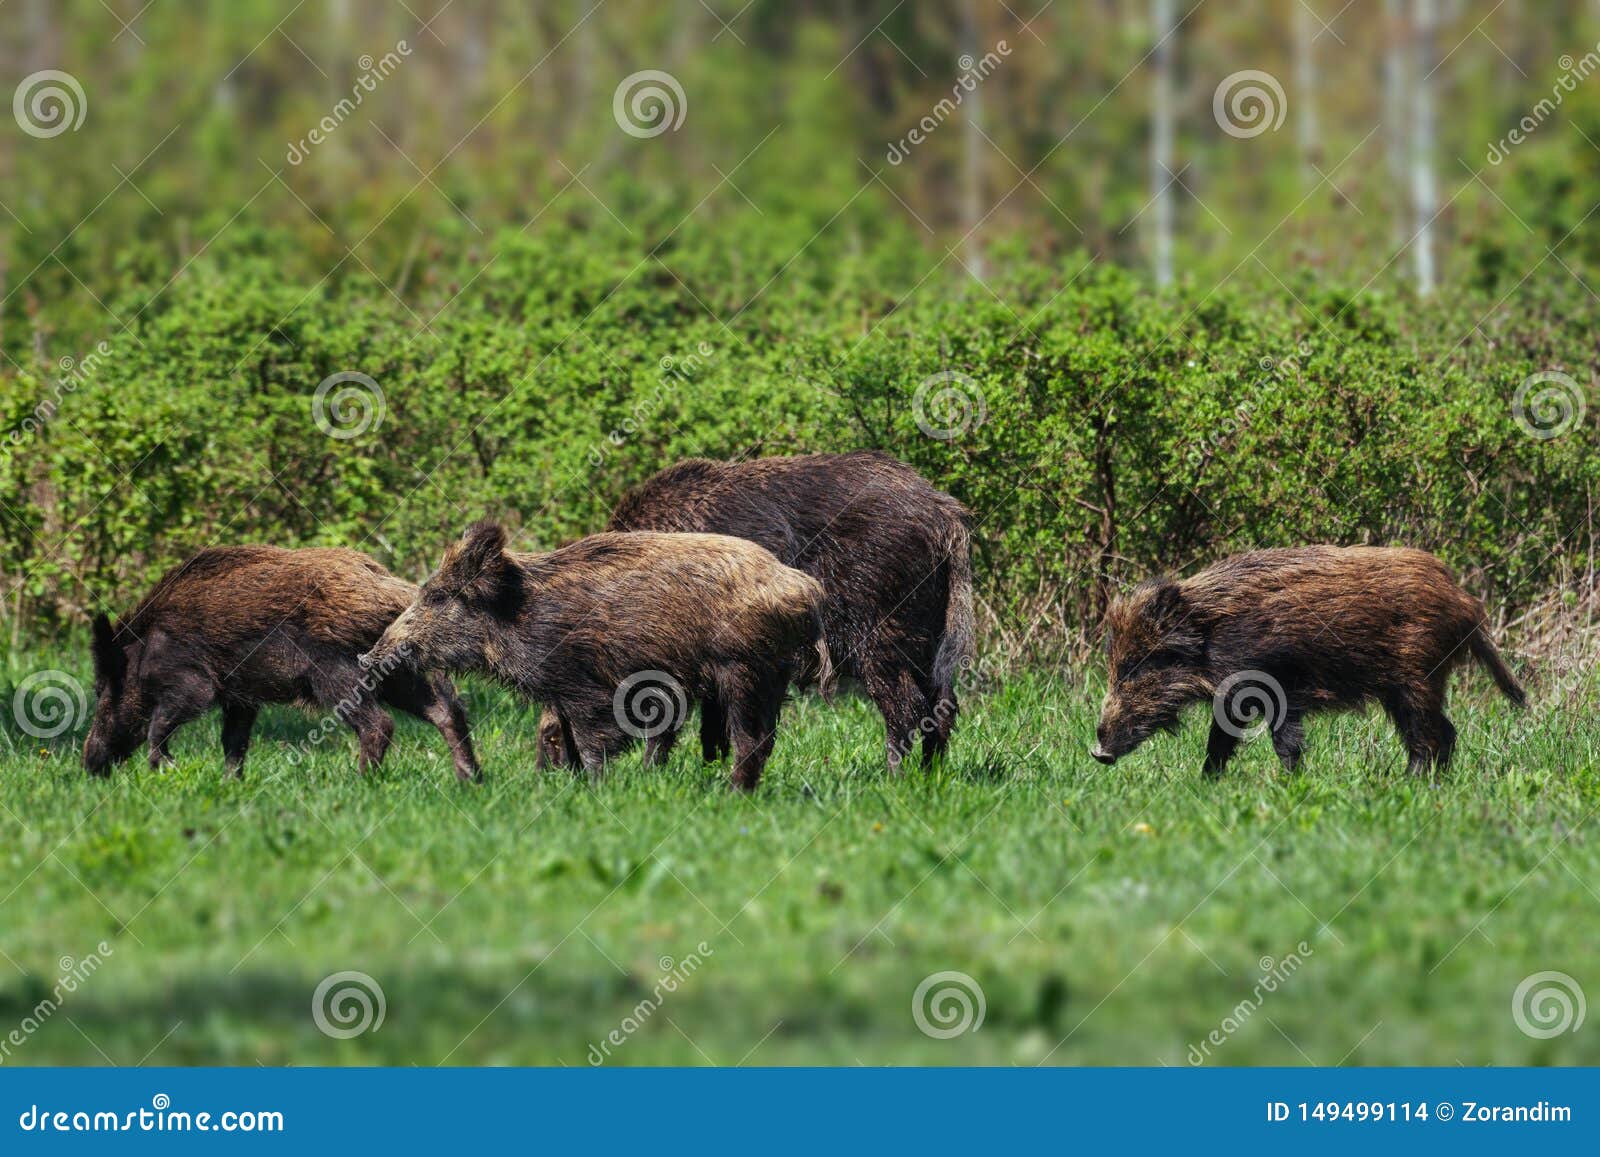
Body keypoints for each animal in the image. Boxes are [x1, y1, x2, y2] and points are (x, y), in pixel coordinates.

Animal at [83, 545, 480, 780]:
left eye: (104, 688)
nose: (89, 763)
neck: (144, 649)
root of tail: (394, 593)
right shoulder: (241, 698)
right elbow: (233, 741)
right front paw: (231, 784)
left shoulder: (193, 682)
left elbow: (161, 722)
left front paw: (164, 768)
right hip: (397, 671)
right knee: (446, 711)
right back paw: (469, 778)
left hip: (336, 674)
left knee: (380, 724)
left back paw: (361, 781)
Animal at [360, 522, 831, 791]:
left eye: (437, 596)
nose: (369, 657)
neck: (518, 616)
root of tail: (802, 587)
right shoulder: (562, 695)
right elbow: (564, 738)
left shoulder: (587, 690)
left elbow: (590, 743)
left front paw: (595, 789)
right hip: (771, 674)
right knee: (764, 739)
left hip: (743, 669)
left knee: (750, 739)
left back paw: (732, 794)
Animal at [537, 451, 973, 772]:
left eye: (553, 736)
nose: (545, 778)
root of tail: (946, 515)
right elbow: (712, 729)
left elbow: (669, 724)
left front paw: (652, 774)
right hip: (927, 630)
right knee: (942, 704)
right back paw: (929, 773)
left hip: (878, 629)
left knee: (905, 706)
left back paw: (892, 775)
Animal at [1091, 545, 1526, 776]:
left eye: (1139, 665)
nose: (1099, 752)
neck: (1211, 634)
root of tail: (1467, 604)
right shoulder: (1235, 698)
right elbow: (1219, 741)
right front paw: (1206, 783)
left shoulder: (1278, 688)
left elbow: (1284, 742)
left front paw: (1290, 782)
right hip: (1404, 688)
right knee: (1445, 732)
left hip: (1417, 678)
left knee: (1429, 736)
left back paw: (1410, 782)